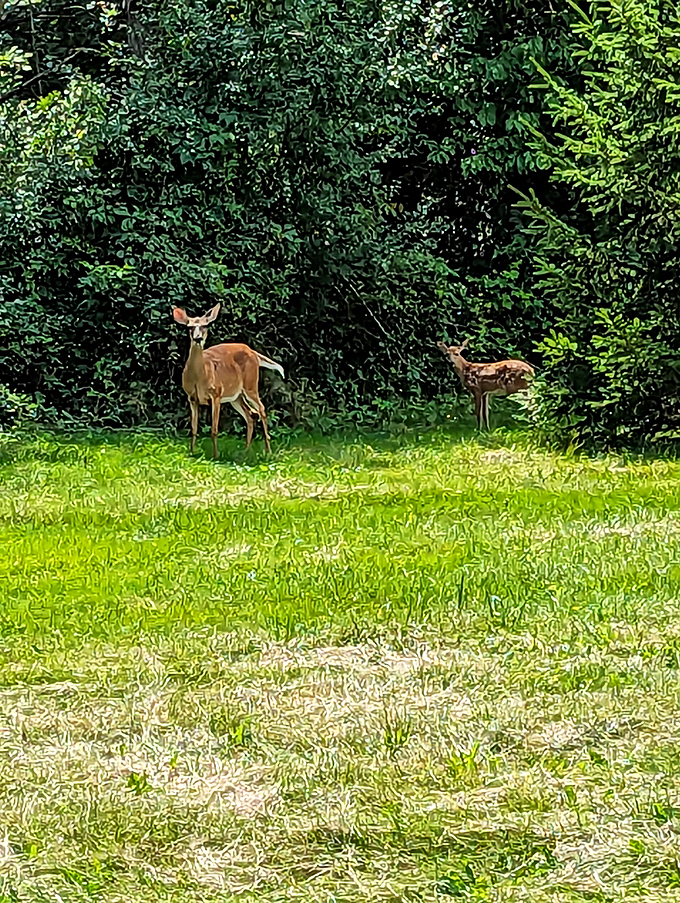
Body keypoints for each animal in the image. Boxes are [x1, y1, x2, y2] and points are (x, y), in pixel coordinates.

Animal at [173, 303, 284, 458]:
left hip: (250, 385)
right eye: (189, 327)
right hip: (235, 397)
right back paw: (245, 451)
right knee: (250, 414)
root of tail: (253, 353)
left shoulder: (216, 394)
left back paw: (268, 451)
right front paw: (191, 453)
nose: (198, 338)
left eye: (205, 325)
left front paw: (215, 456)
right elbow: (194, 429)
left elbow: (214, 430)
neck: (199, 378)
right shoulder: (192, 397)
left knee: (261, 409)